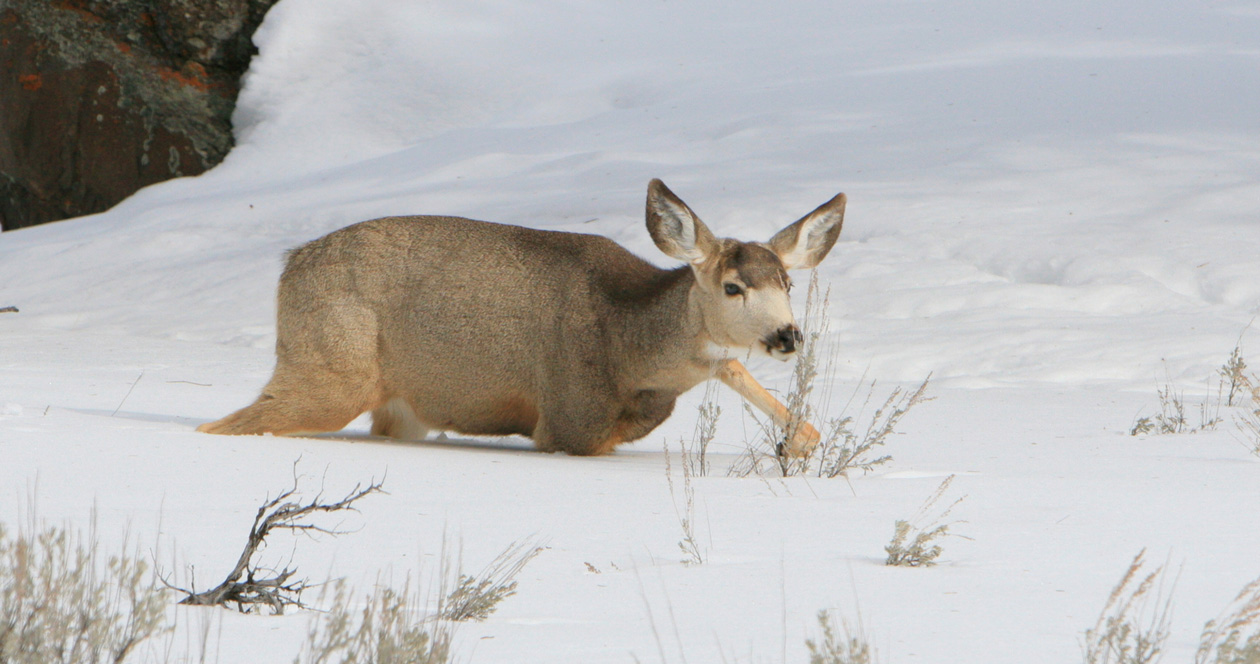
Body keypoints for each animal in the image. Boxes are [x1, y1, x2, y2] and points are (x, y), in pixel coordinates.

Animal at [197, 179, 846, 457]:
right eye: (733, 286)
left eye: (788, 283)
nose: (788, 335)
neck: (630, 351)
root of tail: (290, 265)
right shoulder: (566, 422)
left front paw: (802, 438)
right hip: (328, 368)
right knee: (229, 424)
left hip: (400, 403)